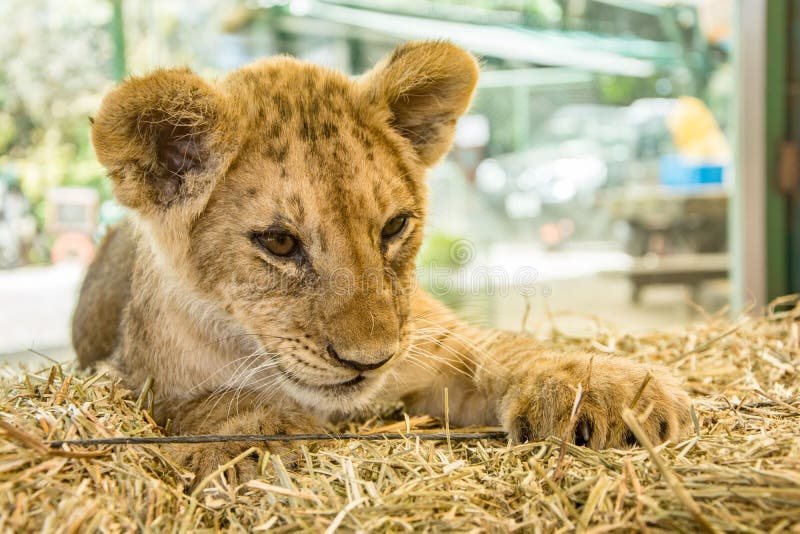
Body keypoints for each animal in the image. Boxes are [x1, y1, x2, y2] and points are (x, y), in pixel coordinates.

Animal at [72, 41, 691, 481]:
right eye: (279, 243)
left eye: (394, 227)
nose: (369, 362)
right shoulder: (137, 379)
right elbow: (212, 403)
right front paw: (261, 437)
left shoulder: (437, 346)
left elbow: (503, 348)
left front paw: (607, 387)